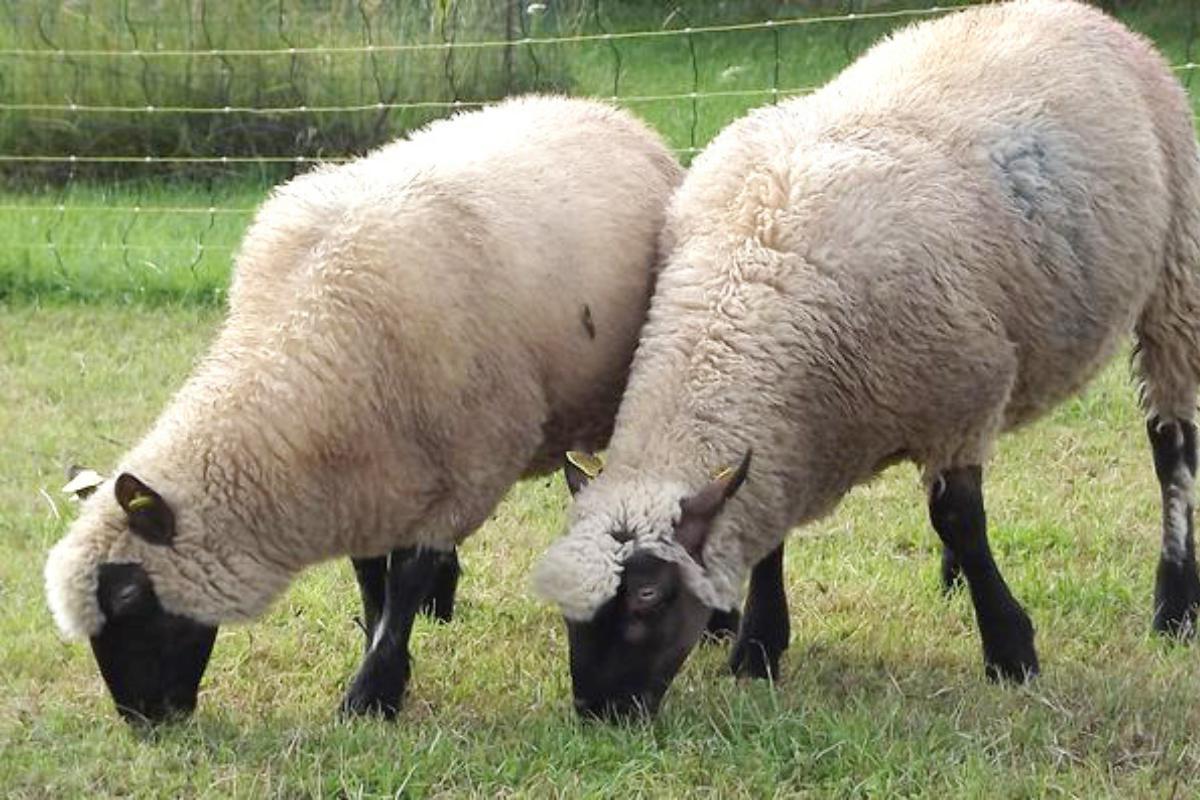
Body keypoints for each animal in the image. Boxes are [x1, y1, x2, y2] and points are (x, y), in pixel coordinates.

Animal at [43, 94, 684, 724]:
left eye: (129, 595)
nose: (142, 718)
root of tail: (605, 110)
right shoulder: (369, 476)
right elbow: (372, 582)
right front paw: (384, 661)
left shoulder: (465, 474)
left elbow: (404, 582)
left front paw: (372, 692)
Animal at [533, 0, 1200, 720]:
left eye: (648, 597)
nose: (599, 712)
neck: (748, 278)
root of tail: (1077, 13)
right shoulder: (798, 439)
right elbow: (777, 542)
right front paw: (758, 648)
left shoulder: (957, 396)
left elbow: (960, 518)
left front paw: (1010, 649)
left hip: (1175, 273)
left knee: (1170, 446)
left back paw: (1174, 605)